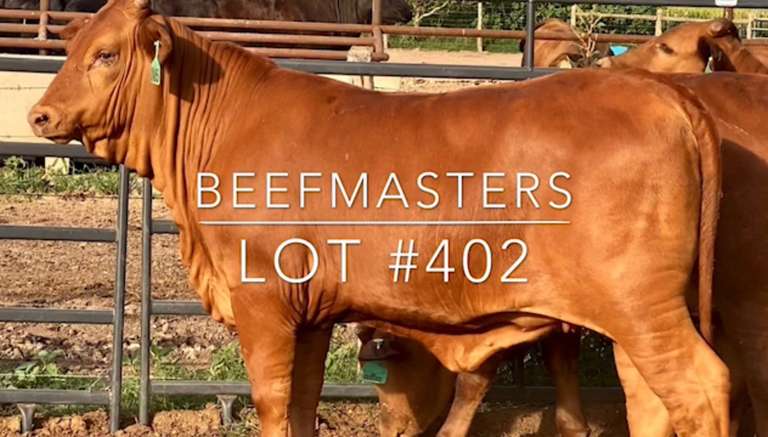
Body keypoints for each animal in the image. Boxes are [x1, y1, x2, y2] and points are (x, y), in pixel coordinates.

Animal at [29, 1, 727, 435]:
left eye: (107, 55)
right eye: (75, 46)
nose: (38, 116)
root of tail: (659, 95)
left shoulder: (263, 304)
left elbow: (272, 401)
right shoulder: (309, 313)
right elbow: (303, 402)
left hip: (642, 308)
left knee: (703, 386)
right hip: (637, 316)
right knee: (651, 400)